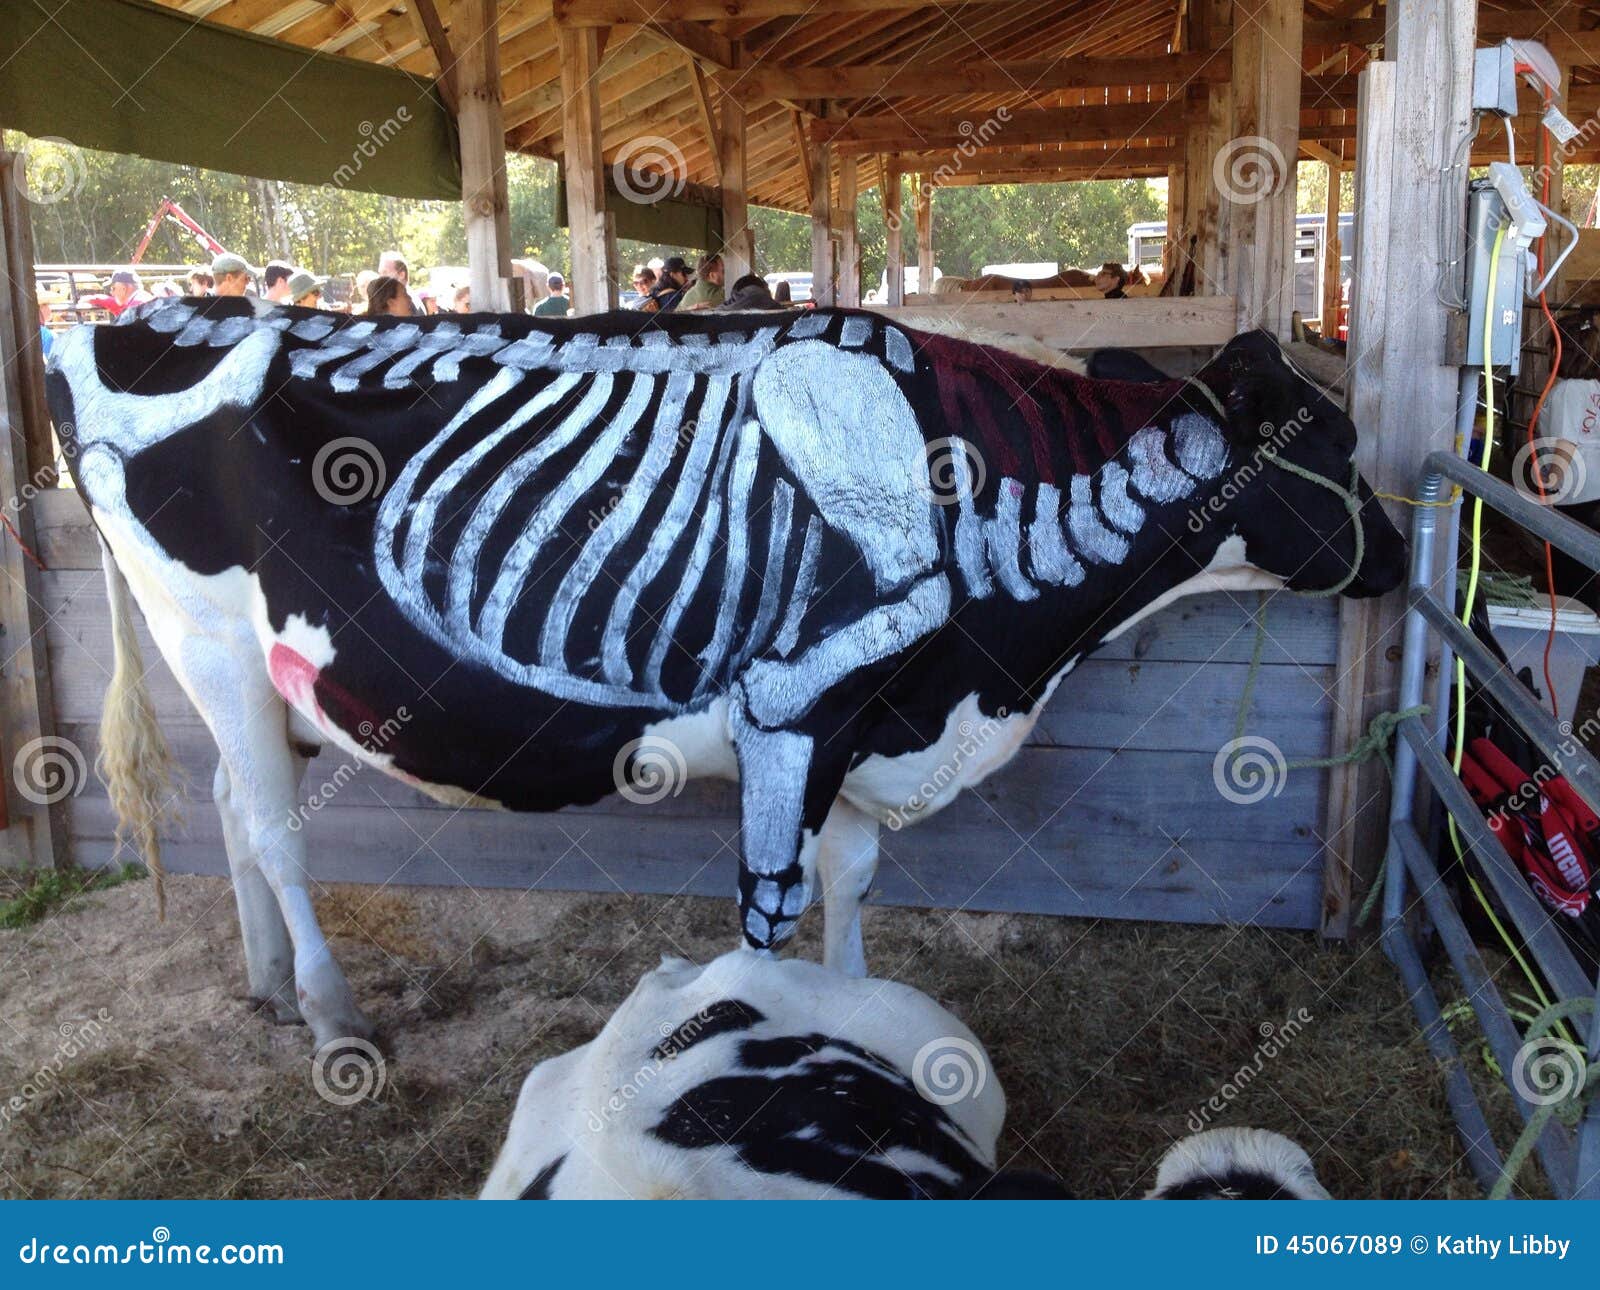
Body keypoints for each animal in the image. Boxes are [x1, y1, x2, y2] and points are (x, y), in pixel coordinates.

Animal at [46, 297, 1406, 1050]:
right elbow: (768, 912)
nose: (1396, 555)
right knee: (274, 827)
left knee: (232, 805)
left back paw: (271, 988)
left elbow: (853, 886)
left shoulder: (866, 735)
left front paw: (857, 1028)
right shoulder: (793, 713)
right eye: (1329, 434)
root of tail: (137, 314)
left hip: (246, 680)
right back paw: (329, 1010)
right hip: (213, 645)